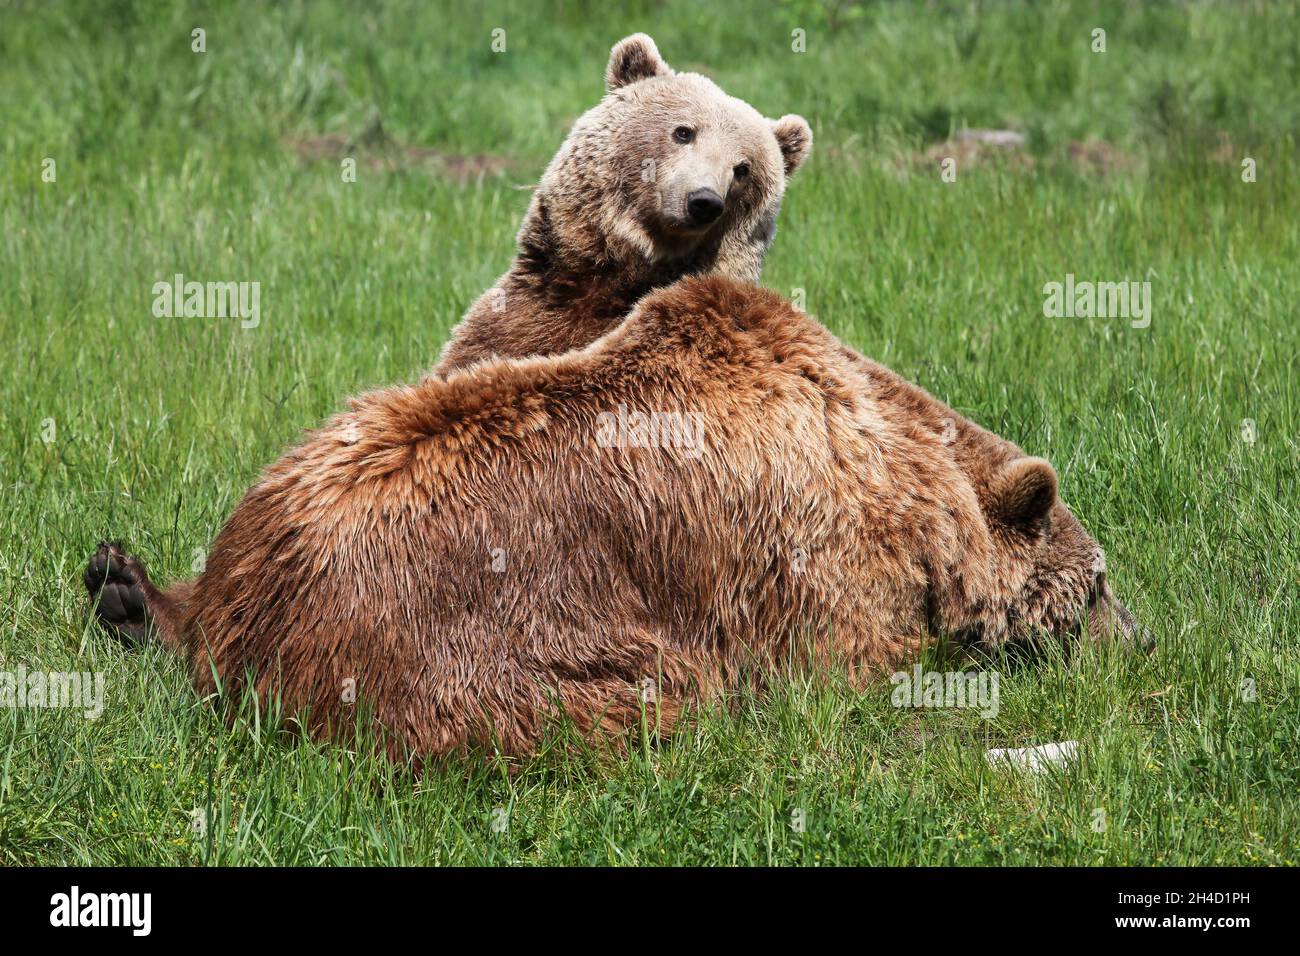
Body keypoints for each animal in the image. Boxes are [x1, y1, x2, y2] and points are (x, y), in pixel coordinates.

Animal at [86, 277, 1146, 765]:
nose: (1139, 635)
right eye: (1098, 585)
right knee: (642, 697)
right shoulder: (810, 559)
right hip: (467, 642)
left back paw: (127, 590)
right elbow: (852, 660)